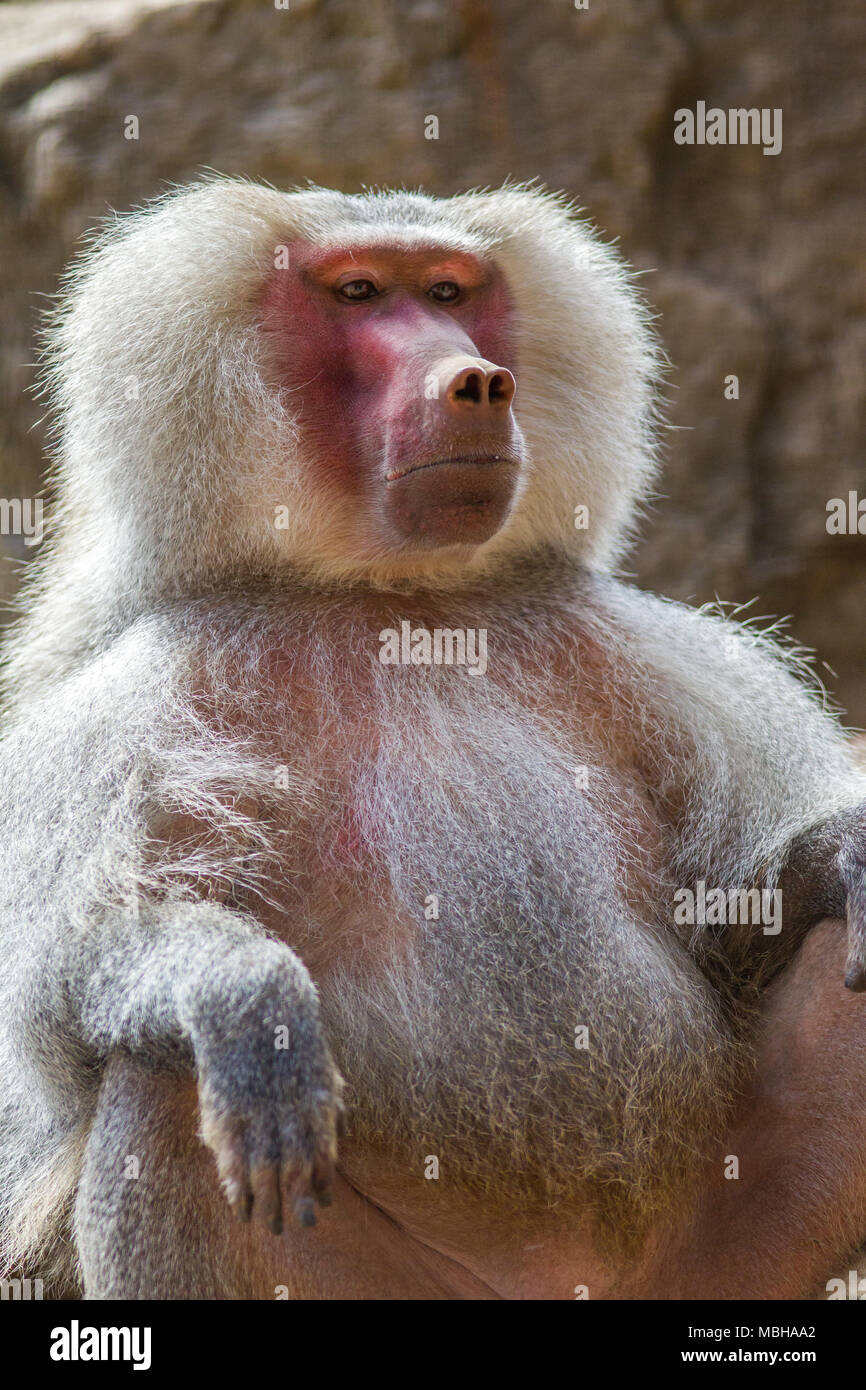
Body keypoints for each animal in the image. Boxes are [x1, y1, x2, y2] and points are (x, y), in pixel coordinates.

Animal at [1, 177, 866, 1300]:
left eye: (449, 292)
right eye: (359, 293)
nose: (479, 382)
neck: (395, 605)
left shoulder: (642, 655)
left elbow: (733, 920)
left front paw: (839, 852)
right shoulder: (141, 684)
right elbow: (55, 995)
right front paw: (248, 998)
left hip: (732, 1258)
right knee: (170, 1071)